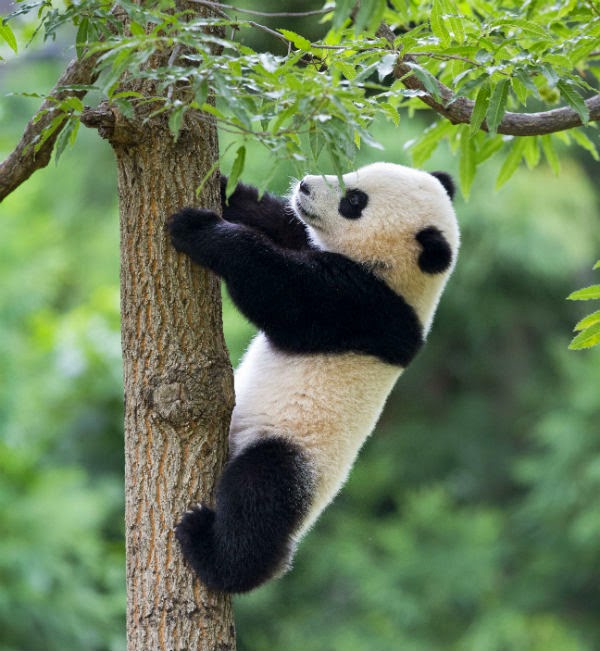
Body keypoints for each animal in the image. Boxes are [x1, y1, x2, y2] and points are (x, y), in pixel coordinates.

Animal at [167, 161, 459, 593]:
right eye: (356, 170)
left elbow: (282, 292)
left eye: (354, 201)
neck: (402, 280)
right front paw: (220, 185)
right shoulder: (316, 248)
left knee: (260, 495)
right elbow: (276, 219)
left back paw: (214, 553)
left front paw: (199, 230)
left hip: (296, 451)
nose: (304, 185)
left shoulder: (364, 308)